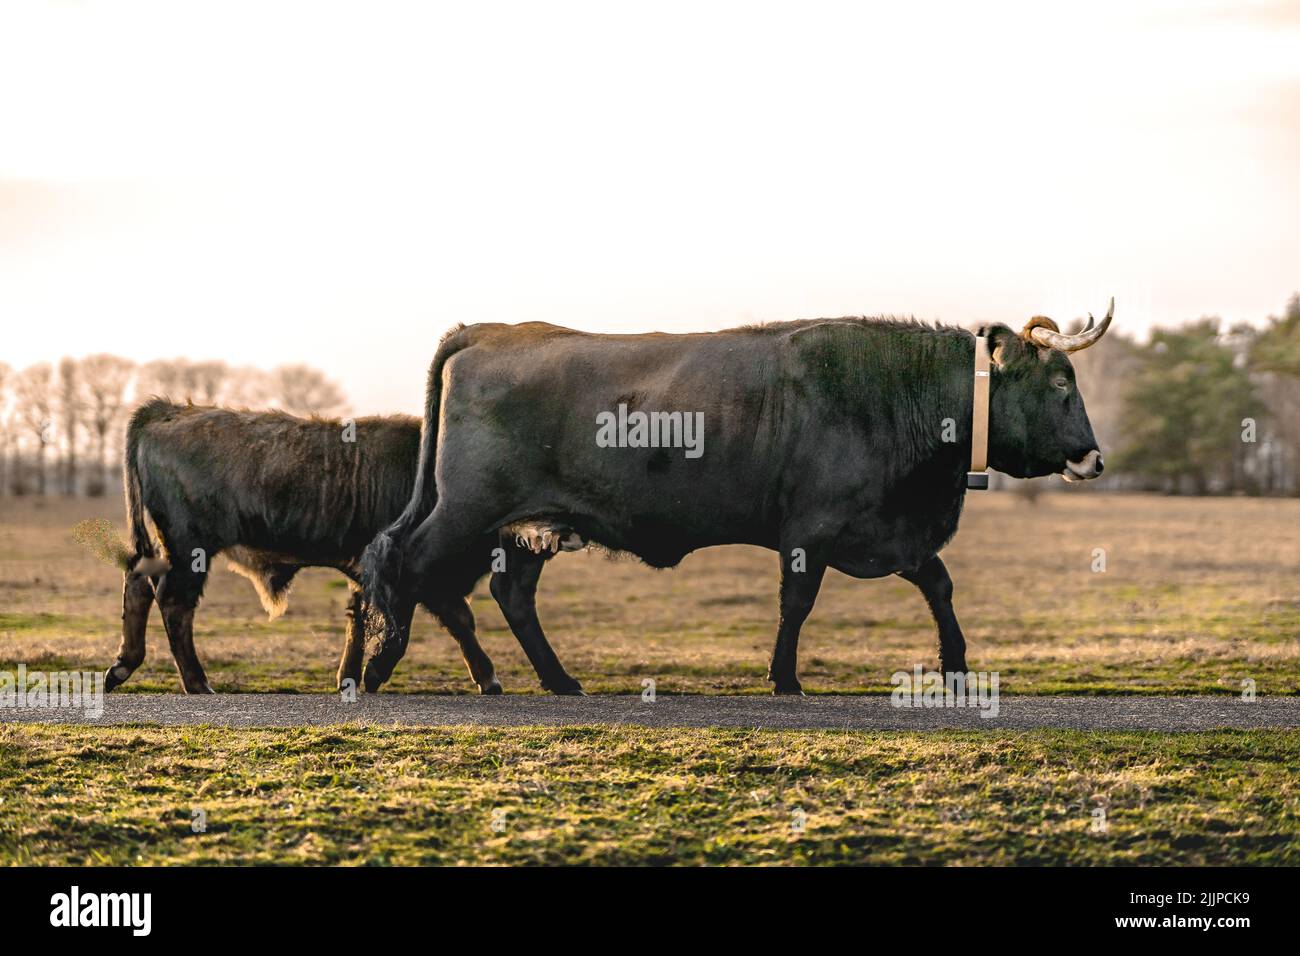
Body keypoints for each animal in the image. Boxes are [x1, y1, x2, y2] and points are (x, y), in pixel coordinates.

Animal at [99, 398, 587, 695]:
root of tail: (169, 411)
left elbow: (361, 618)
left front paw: (350, 678)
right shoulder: (420, 578)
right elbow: (454, 620)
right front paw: (487, 677)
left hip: (166, 550)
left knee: (139, 585)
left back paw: (124, 665)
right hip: (189, 549)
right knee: (174, 604)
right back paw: (197, 682)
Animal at [360, 302, 1114, 694]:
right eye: (1060, 383)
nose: (1093, 456)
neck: (898, 394)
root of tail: (489, 329)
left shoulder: (889, 532)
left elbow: (939, 584)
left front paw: (956, 667)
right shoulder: (812, 531)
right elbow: (798, 602)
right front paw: (784, 678)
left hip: (529, 523)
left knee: (508, 594)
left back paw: (556, 680)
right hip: (467, 510)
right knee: (409, 563)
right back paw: (380, 665)